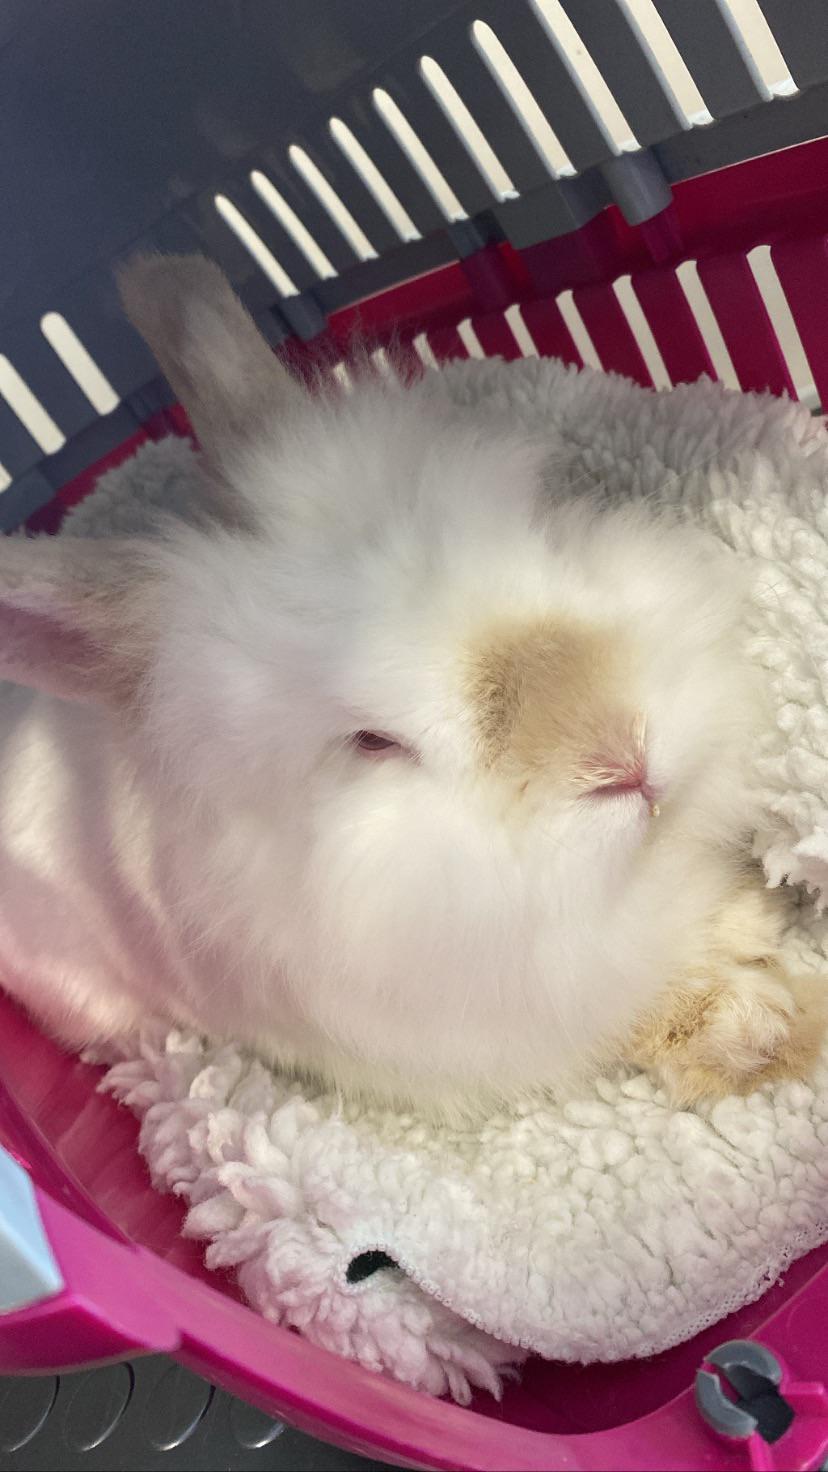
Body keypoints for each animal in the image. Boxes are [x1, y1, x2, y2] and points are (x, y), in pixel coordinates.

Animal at [0, 252, 821, 1122]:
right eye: (373, 743)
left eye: (538, 539)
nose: (622, 755)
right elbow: (652, 1013)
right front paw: (761, 1028)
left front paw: (757, 914)